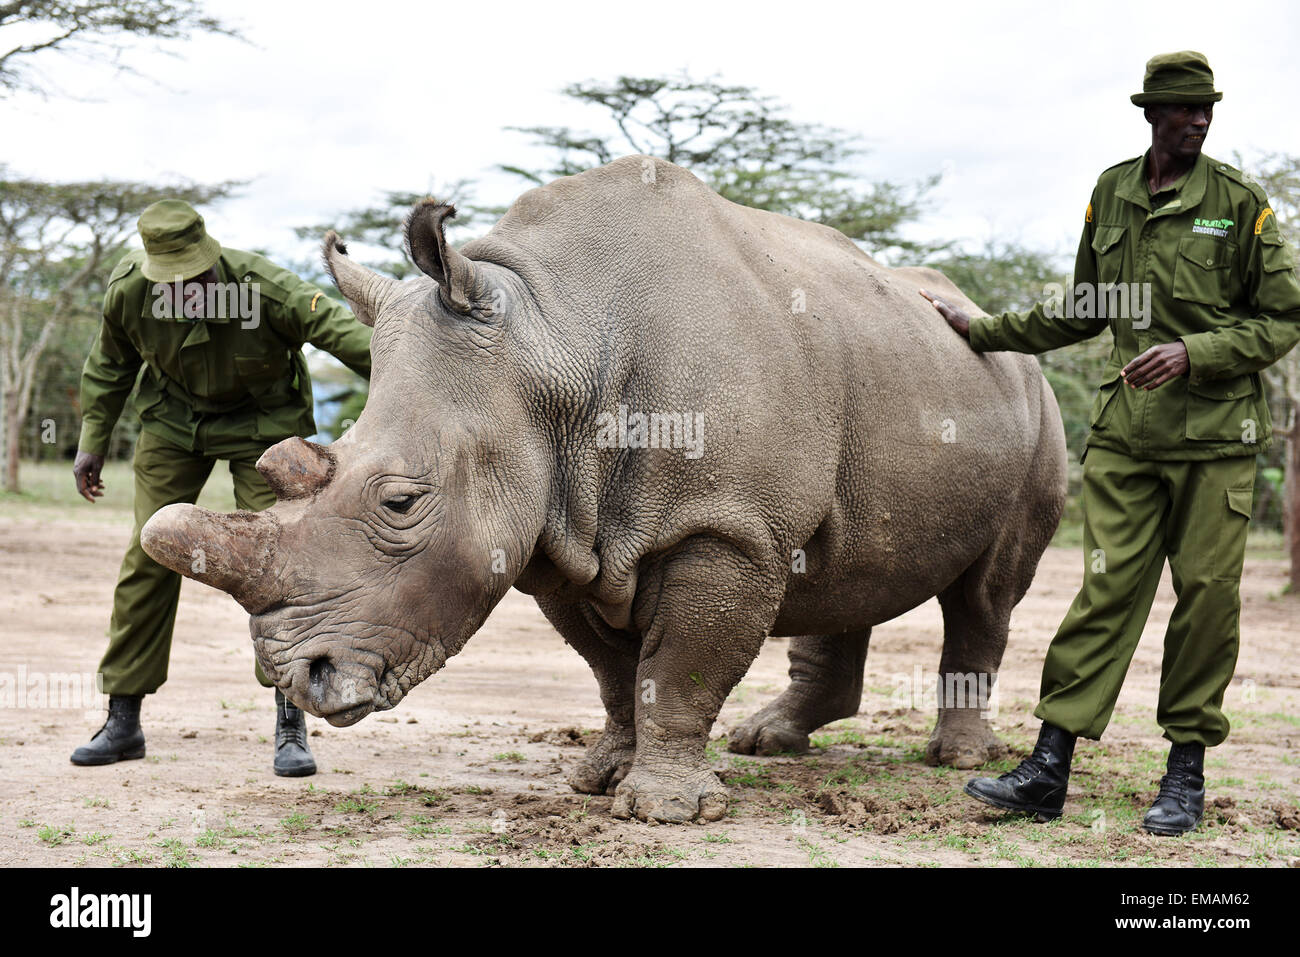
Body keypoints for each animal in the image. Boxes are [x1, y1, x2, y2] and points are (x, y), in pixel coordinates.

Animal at [141, 155, 1067, 823]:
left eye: (400, 503)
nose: (301, 678)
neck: (553, 337)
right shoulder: (556, 534)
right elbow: (614, 672)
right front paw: (598, 779)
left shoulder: (725, 527)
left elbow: (682, 664)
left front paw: (666, 811)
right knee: (842, 568)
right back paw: (768, 741)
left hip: (1032, 403)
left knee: (985, 593)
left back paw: (960, 760)